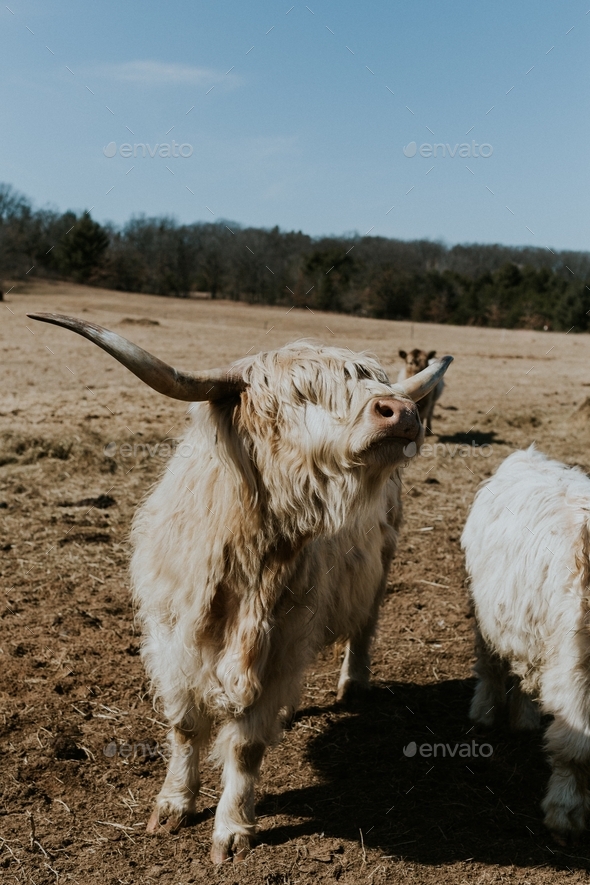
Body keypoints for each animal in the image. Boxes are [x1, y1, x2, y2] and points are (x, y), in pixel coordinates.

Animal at [30, 312, 452, 862]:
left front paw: (232, 828)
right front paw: (173, 804)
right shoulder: (172, 643)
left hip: (380, 566)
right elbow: (185, 727)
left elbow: (245, 746)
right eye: (299, 392)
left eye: (374, 380)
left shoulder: (277, 645)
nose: (400, 410)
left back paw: (352, 684)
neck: (248, 567)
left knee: (363, 627)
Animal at [462, 445, 590, 843]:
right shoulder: (578, 673)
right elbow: (577, 747)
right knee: (491, 665)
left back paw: (524, 718)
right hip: (485, 612)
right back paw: (485, 711)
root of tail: (526, 456)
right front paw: (565, 812)